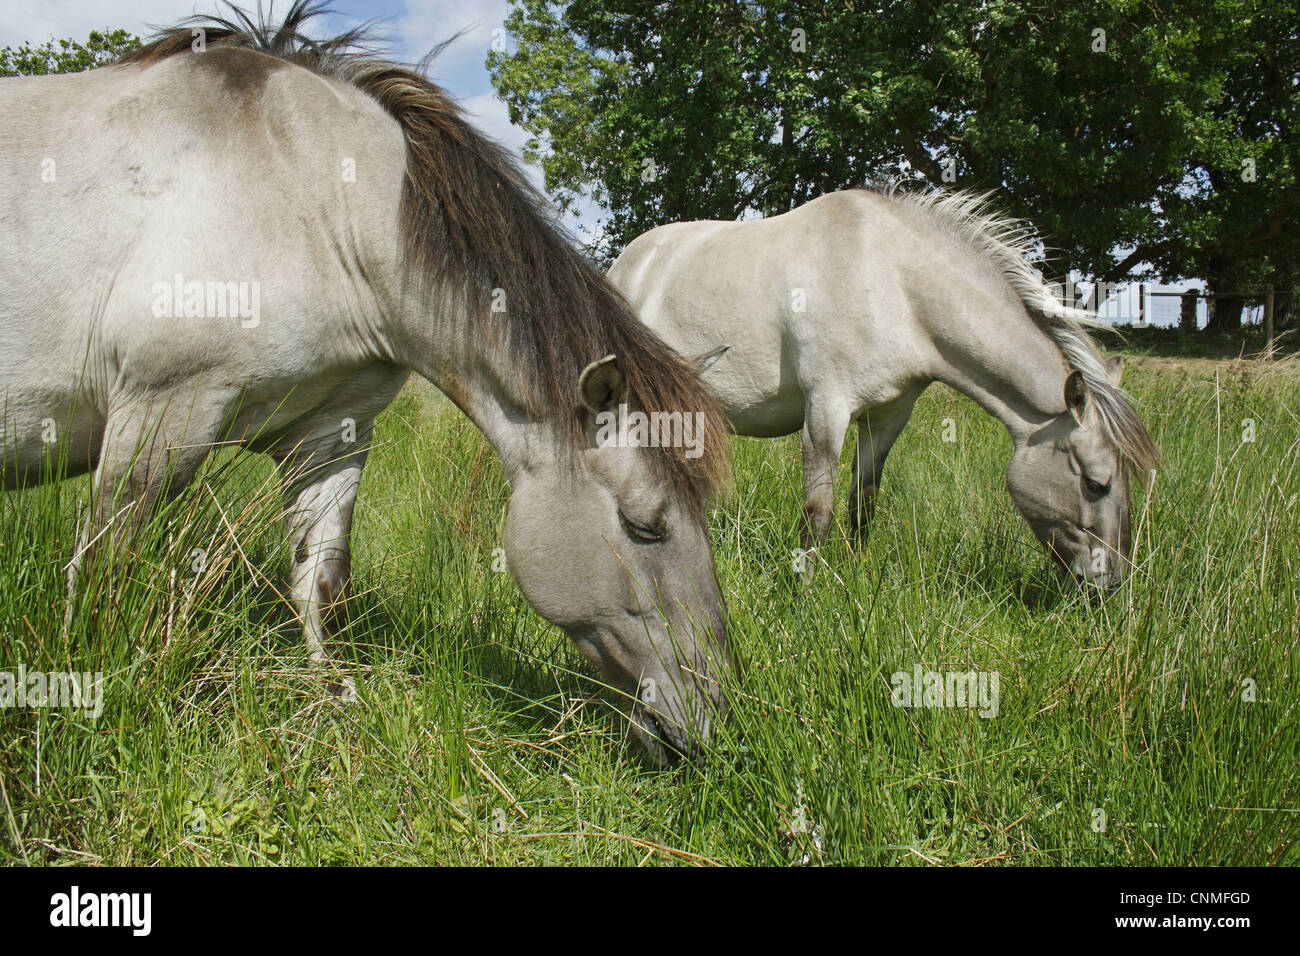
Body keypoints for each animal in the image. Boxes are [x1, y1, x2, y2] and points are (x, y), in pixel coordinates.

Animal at [0, 1, 733, 765]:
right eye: (643, 526)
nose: (711, 720)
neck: (309, 196)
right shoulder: (159, 415)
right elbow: (102, 570)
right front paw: (85, 691)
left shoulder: (330, 437)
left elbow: (317, 577)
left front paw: (331, 700)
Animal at [608, 188, 1158, 586]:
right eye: (1096, 482)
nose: (1110, 583)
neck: (894, 283)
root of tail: (628, 260)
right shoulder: (826, 410)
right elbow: (819, 510)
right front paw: (804, 590)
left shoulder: (889, 417)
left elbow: (864, 503)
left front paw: (855, 575)